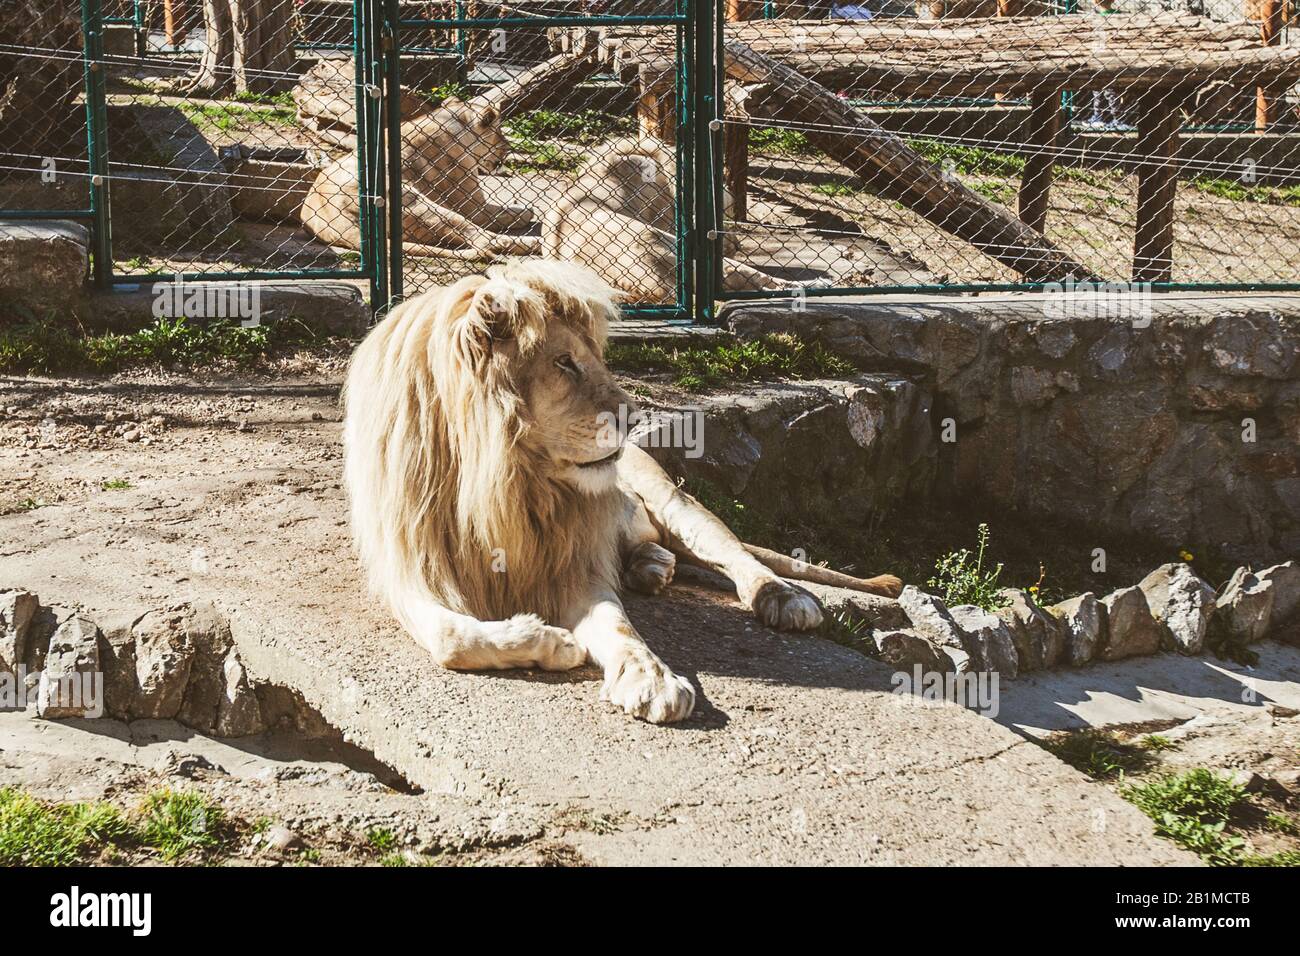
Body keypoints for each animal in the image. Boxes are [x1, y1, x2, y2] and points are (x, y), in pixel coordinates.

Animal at [301, 98, 539, 261]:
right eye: (498, 131)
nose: (508, 148)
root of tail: (337, 225)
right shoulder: (474, 207)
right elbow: (513, 213)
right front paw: (526, 211)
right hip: (419, 204)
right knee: (485, 240)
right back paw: (535, 243)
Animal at [342, 258, 903, 724]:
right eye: (564, 362)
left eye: (596, 356)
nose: (634, 419)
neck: (504, 479)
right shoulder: (410, 572)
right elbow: (452, 637)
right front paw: (552, 643)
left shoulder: (572, 567)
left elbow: (620, 629)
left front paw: (649, 677)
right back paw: (650, 566)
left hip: (675, 503)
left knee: (736, 555)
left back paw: (780, 596)